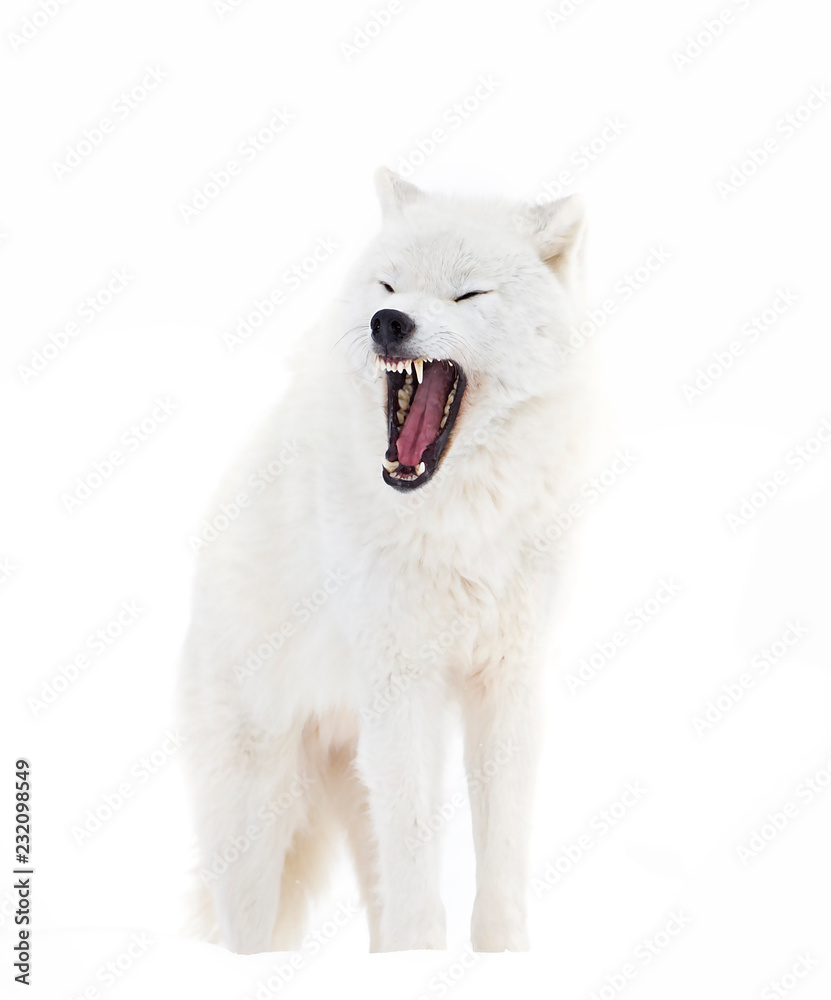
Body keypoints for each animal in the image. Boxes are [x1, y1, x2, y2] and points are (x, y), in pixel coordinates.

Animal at [179, 168, 596, 954]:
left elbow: (501, 848)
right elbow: (418, 849)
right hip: (258, 821)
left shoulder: (507, 680)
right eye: (388, 284)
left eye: (468, 294)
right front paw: (427, 954)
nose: (388, 323)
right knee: (249, 929)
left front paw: (503, 954)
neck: (457, 518)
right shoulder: (402, 682)